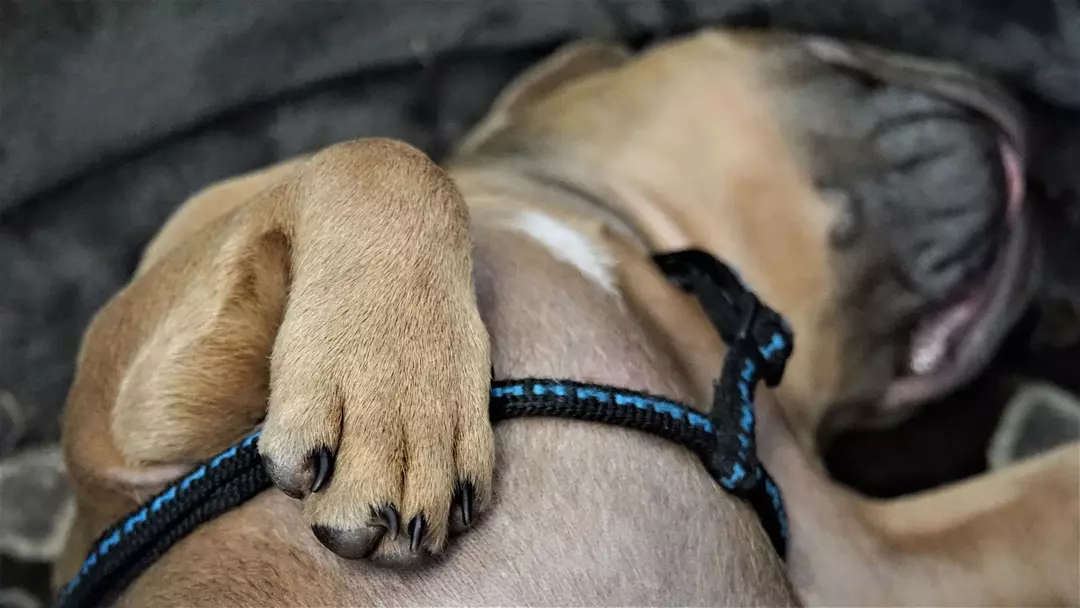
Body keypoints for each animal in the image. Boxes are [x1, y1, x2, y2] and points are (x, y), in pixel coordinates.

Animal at [59, 27, 1080, 604]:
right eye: (831, 52)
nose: (1032, 124)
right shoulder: (125, 432)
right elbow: (385, 156)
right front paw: (396, 391)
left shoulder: (871, 562)